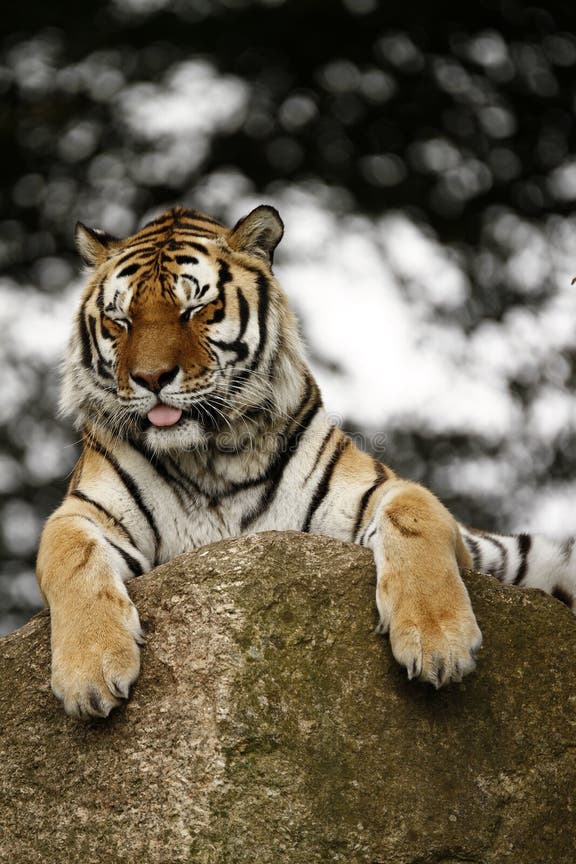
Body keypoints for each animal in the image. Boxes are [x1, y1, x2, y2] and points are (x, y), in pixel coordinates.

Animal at [36, 204, 576, 719]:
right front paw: (90, 671)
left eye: (196, 308)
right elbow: (68, 556)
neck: (208, 453)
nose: (151, 378)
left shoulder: (371, 493)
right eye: (121, 319)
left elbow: (414, 513)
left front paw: (439, 640)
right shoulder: (84, 513)